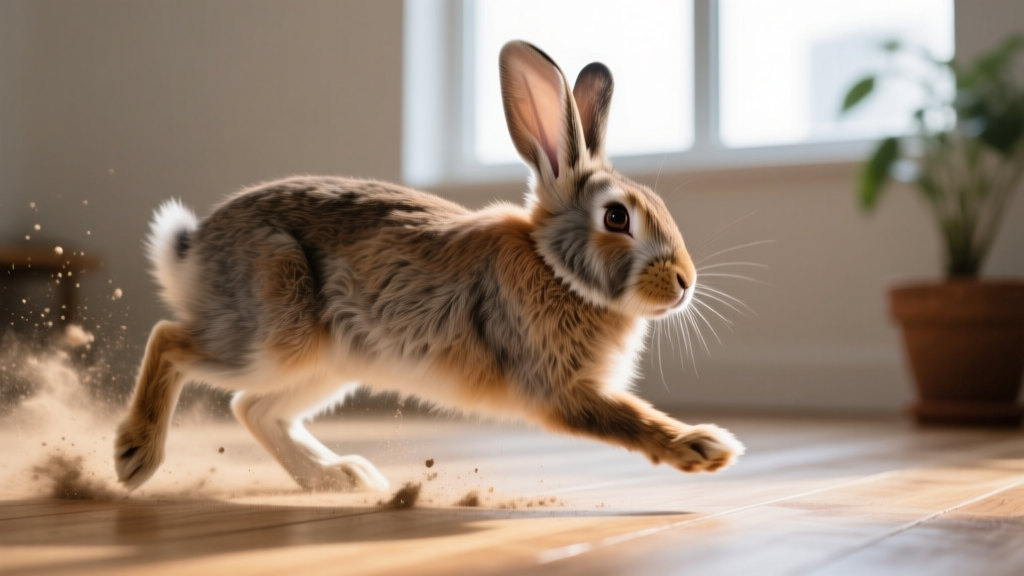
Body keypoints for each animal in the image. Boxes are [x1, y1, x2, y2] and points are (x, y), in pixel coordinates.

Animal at [114, 40, 745, 492]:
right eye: (616, 217)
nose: (685, 284)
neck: (554, 269)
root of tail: (194, 250)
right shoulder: (556, 386)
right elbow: (629, 418)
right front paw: (706, 447)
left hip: (325, 364)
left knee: (254, 409)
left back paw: (344, 478)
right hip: (273, 334)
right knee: (171, 340)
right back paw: (134, 456)